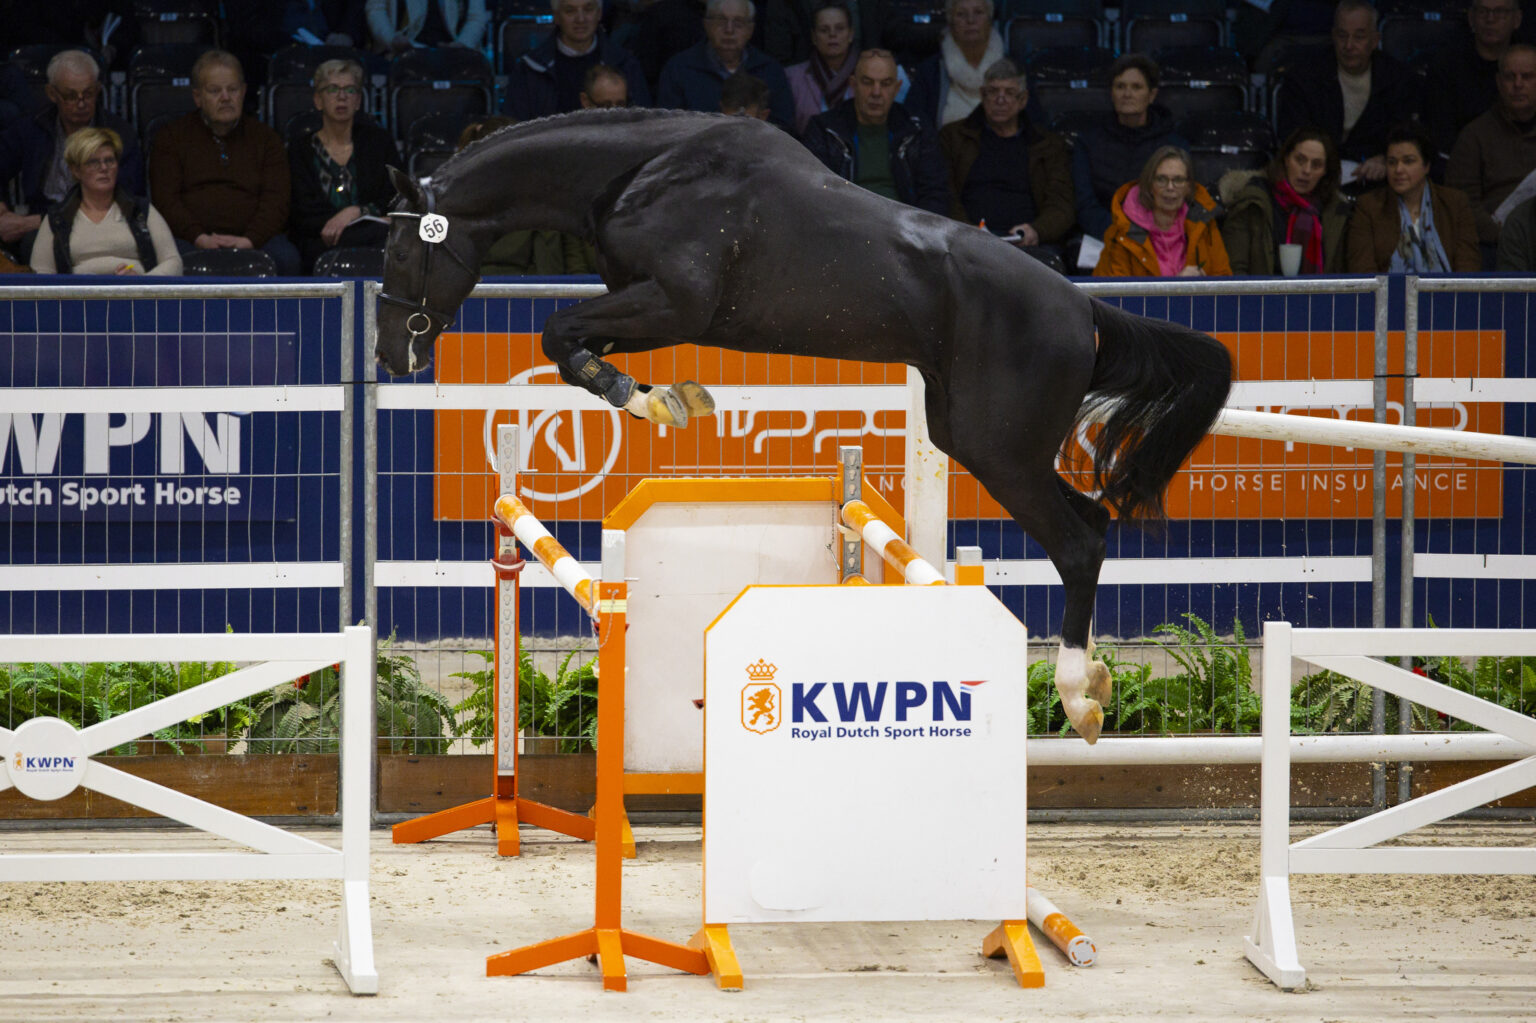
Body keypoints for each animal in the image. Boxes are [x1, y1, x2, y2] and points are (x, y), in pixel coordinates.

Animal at [375, 107, 1232, 744]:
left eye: (399, 251)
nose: (392, 351)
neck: (643, 173)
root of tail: (1082, 307)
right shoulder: (648, 308)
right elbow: (570, 345)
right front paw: (666, 396)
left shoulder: (674, 301)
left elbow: (558, 332)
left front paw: (649, 399)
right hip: (976, 439)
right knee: (1091, 523)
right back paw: (1088, 688)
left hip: (1000, 450)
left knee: (1080, 541)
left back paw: (1079, 695)